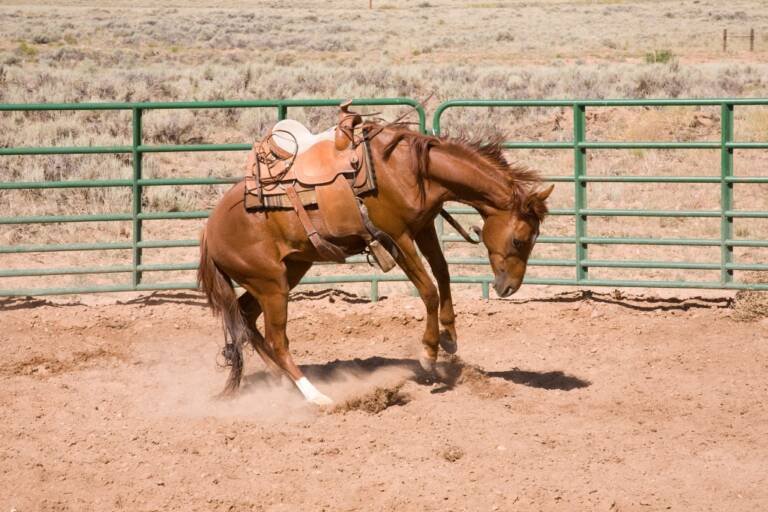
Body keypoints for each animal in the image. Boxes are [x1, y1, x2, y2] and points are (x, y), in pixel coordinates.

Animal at [197, 122, 553, 405]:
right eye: (520, 239)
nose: (509, 287)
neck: (410, 170)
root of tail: (210, 230)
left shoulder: (423, 227)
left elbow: (443, 273)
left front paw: (450, 336)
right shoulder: (397, 237)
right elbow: (429, 290)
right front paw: (429, 353)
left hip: (288, 271)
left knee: (247, 317)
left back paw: (283, 383)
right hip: (272, 285)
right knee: (276, 339)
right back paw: (315, 396)